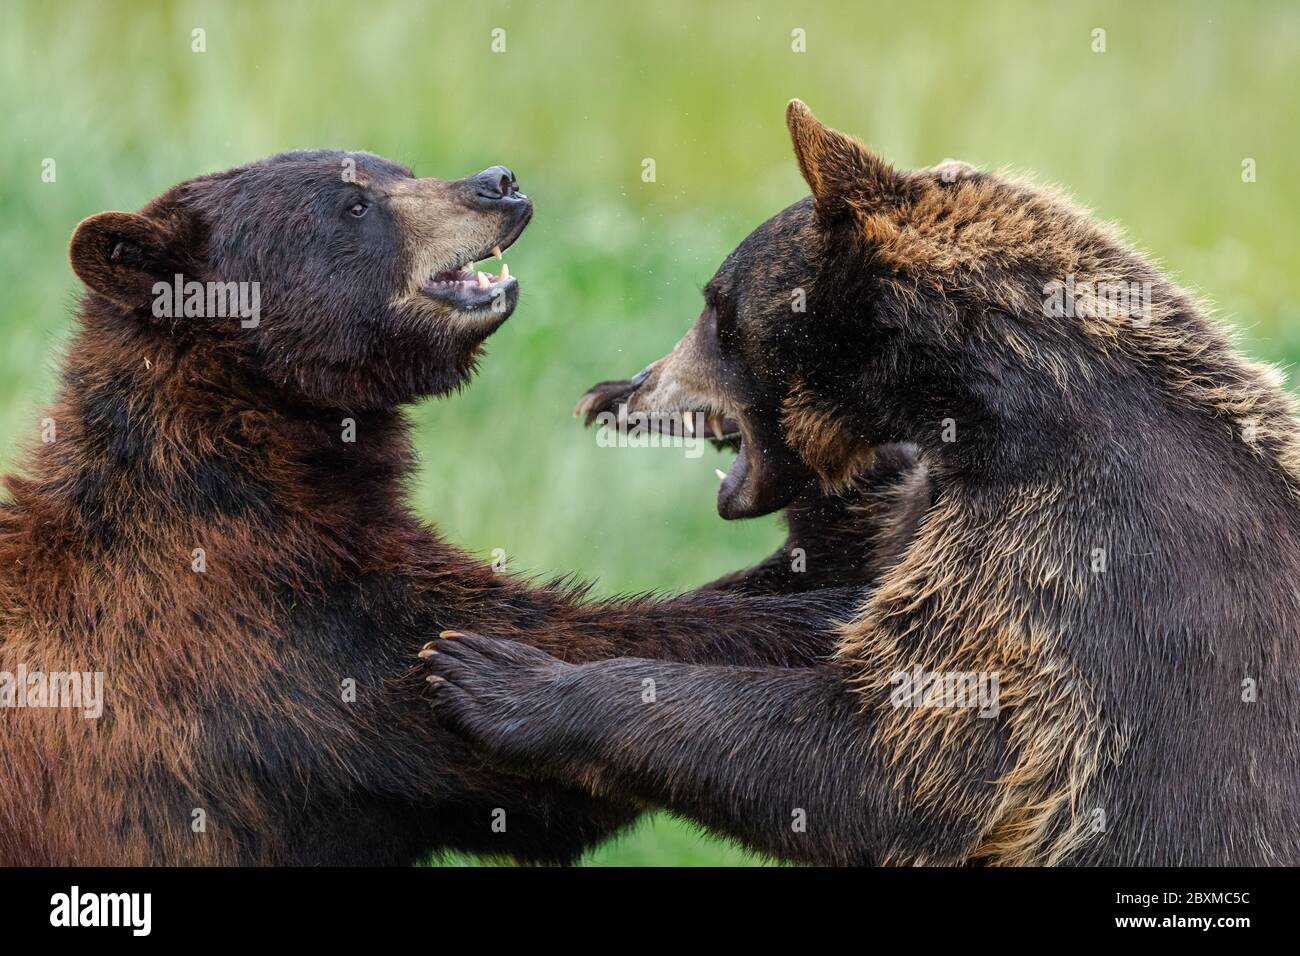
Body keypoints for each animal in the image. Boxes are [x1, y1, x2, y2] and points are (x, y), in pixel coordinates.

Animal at [0, 149, 867, 866]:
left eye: (395, 165)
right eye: (353, 206)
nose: (499, 182)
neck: (253, 441)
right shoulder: (262, 618)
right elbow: (529, 712)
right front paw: (817, 612)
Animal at [422, 101, 1300, 866]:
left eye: (714, 306)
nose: (627, 388)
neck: (974, 405)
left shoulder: (1062, 569)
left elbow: (884, 755)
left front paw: (494, 675)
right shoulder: (938, 510)